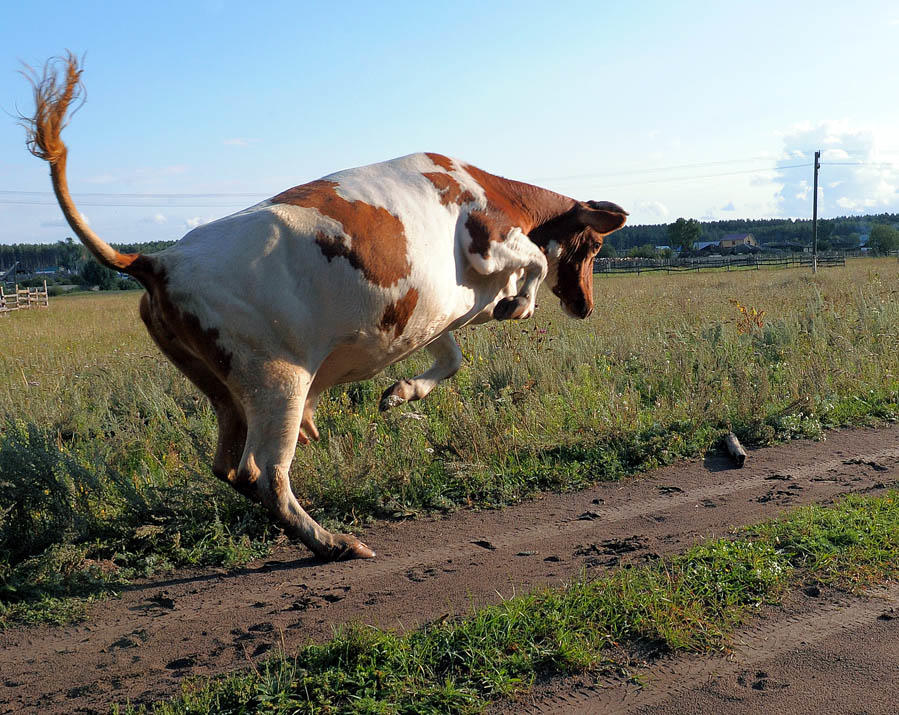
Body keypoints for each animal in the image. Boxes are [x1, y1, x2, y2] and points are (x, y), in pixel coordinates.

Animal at [21, 53, 624, 564]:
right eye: (595, 246)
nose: (587, 307)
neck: (493, 190)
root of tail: (159, 260)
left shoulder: (434, 311)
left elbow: (451, 357)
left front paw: (399, 393)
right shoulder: (488, 240)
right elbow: (534, 263)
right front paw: (516, 305)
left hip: (225, 390)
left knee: (228, 467)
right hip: (278, 379)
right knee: (262, 473)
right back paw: (335, 544)